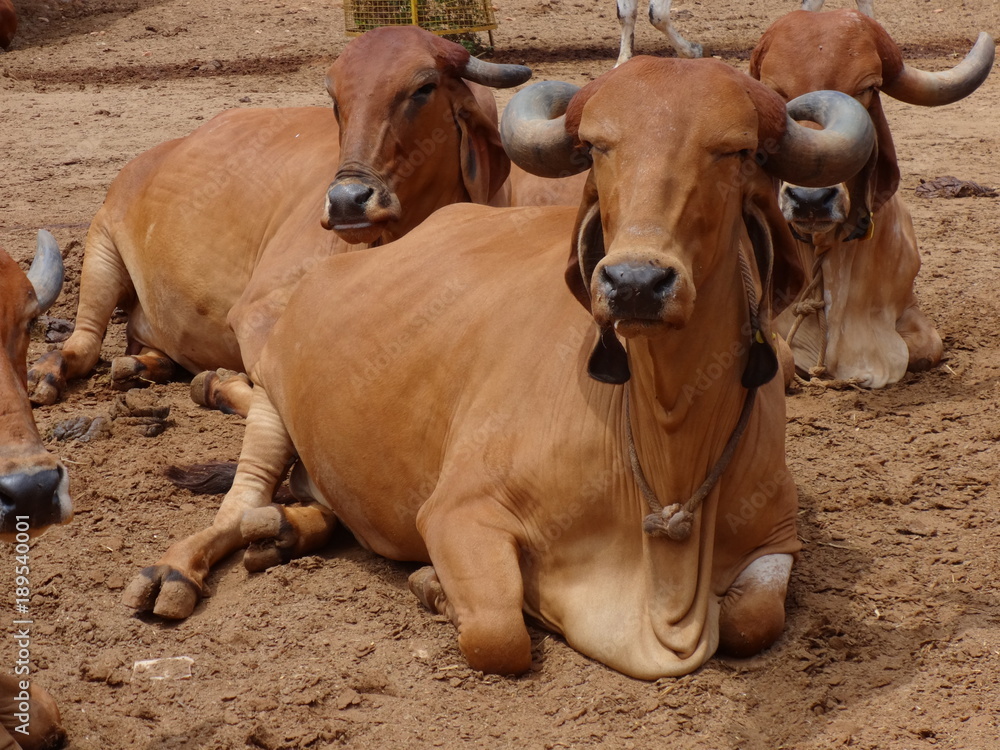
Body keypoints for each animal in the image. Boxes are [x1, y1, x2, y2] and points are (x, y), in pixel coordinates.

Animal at [26, 27, 533, 417]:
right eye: (335, 100)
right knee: (83, 345)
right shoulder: (259, 313)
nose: (347, 201)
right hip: (101, 246)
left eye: (423, 88)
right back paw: (49, 374)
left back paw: (143, 366)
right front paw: (220, 385)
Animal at [123, 57, 876, 677]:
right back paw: (181, 561)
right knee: (240, 494)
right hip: (277, 397)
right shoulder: (461, 512)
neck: (664, 441)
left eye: (737, 151)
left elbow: (752, 619)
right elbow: (499, 634)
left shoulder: (778, 534)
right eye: (598, 148)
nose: (635, 283)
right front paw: (435, 586)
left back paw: (287, 527)